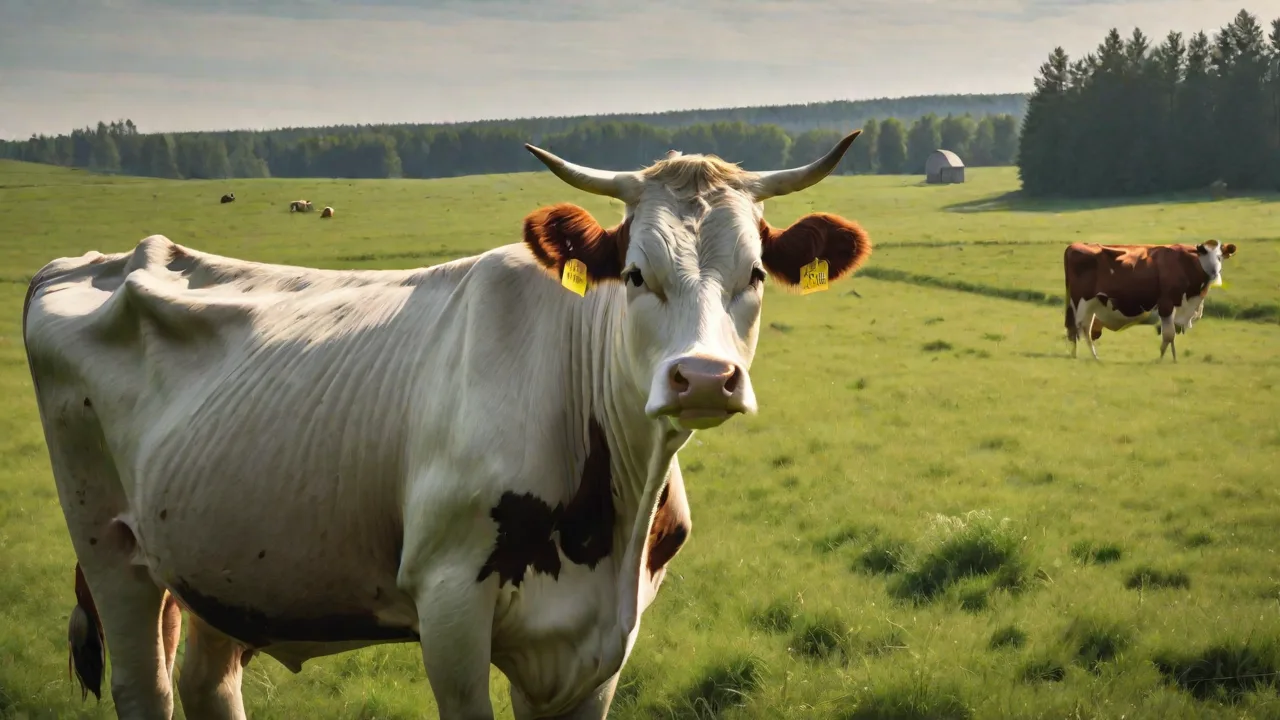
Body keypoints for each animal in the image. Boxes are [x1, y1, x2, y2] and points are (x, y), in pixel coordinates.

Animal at [23, 131, 873, 720]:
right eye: (635, 275)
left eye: (755, 273)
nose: (702, 377)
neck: (611, 527)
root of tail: (89, 261)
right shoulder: (450, 604)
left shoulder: (598, 647)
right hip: (108, 547)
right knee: (145, 687)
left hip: (220, 563)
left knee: (207, 683)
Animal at [1063, 239, 1237, 362]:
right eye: (1204, 254)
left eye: (1220, 257)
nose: (1214, 272)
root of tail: (1074, 246)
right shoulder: (1166, 303)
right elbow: (1169, 334)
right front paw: (1162, 358)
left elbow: (1171, 334)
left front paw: (1173, 358)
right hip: (1082, 302)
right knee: (1081, 328)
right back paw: (1091, 356)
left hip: (1090, 304)